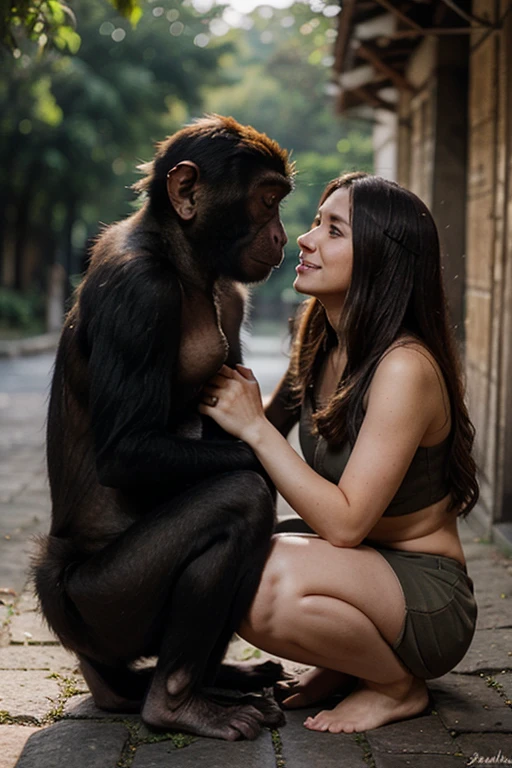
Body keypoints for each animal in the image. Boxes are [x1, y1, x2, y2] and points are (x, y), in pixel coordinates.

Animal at [33, 115, 294, 741]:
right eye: (267, 200)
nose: (283, 237)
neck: (180, 255)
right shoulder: (140, 294)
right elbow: (129, 450)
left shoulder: (231, 296)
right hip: (102, 606)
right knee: (241, 501)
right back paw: (175, 705)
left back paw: (215, 679)